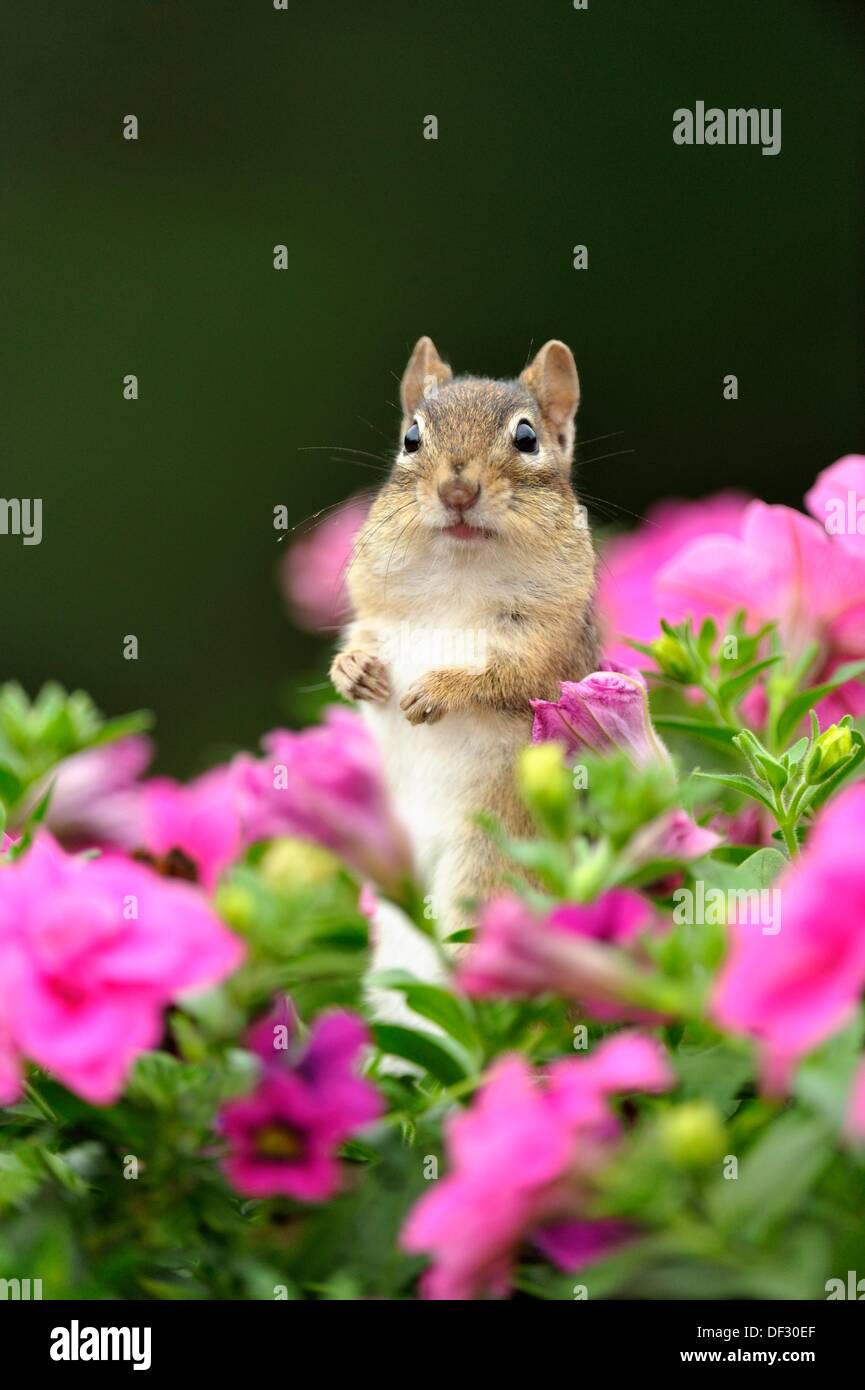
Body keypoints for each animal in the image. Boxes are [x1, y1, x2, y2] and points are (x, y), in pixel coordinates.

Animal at [331, 336, 599, 940]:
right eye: (410, 438)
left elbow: (508, 679)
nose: (457, 489)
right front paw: (353, 670)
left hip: (487, 867)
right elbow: (359, 641)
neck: (459, 577)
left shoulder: (554, 653)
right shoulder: (376, 614)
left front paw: (438, 691)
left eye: (527, 439)